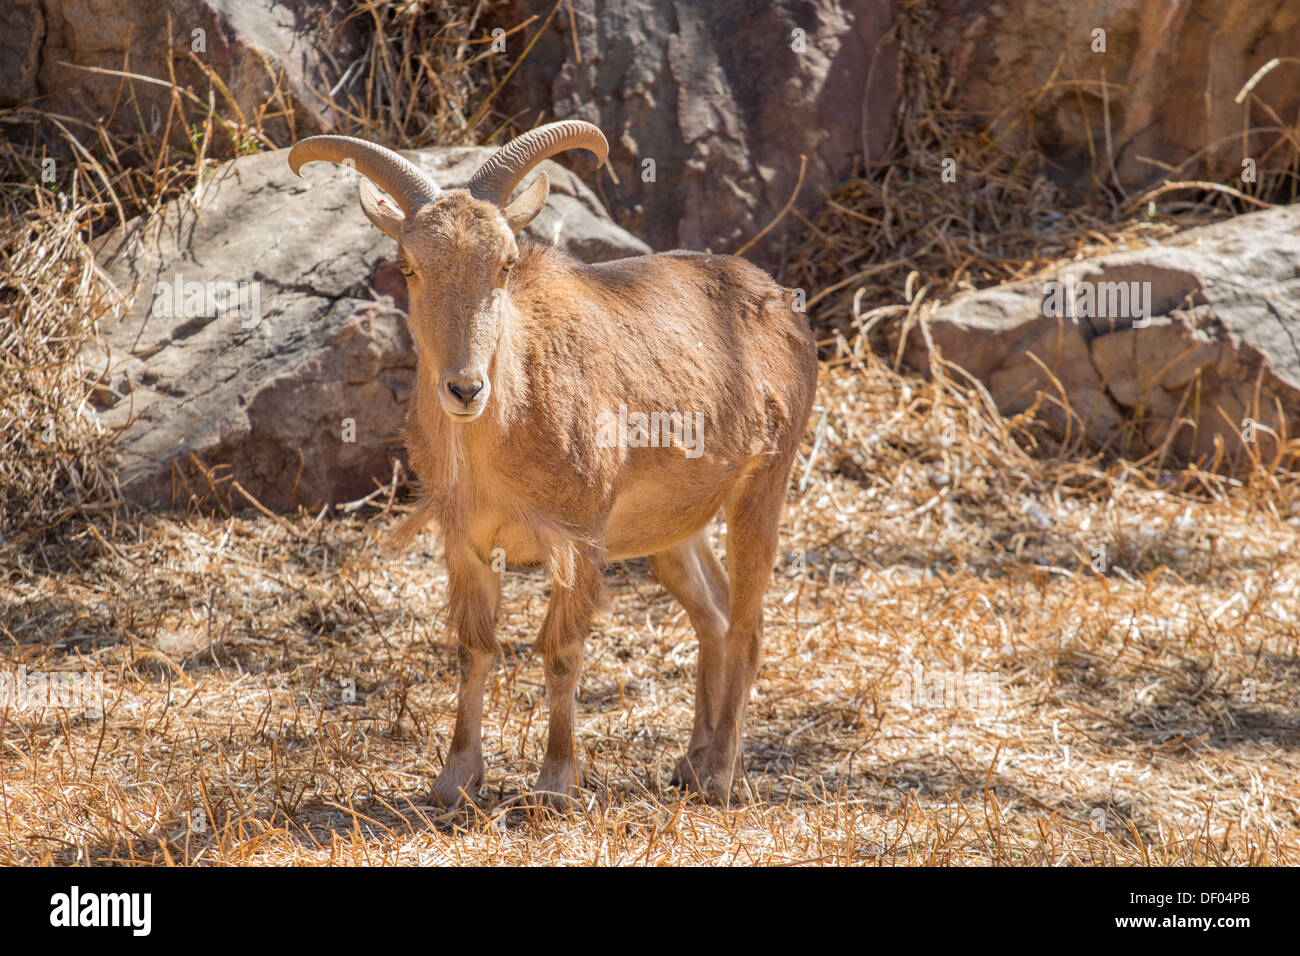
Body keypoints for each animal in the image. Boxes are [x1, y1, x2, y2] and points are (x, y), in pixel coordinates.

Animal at [288, 121, 817, 805]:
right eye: (409, 266)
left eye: (507, 263)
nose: (465, 388)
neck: (498, 444)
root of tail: (785, 306)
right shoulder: (466, 541)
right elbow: (474, 648)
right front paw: (455, 780)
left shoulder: (579, 540)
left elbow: (561, 651)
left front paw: (556, 782)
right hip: (672, 529)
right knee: (716, 617)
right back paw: (691, 763)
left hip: (762, 486)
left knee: (748, 628)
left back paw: (720, 774)